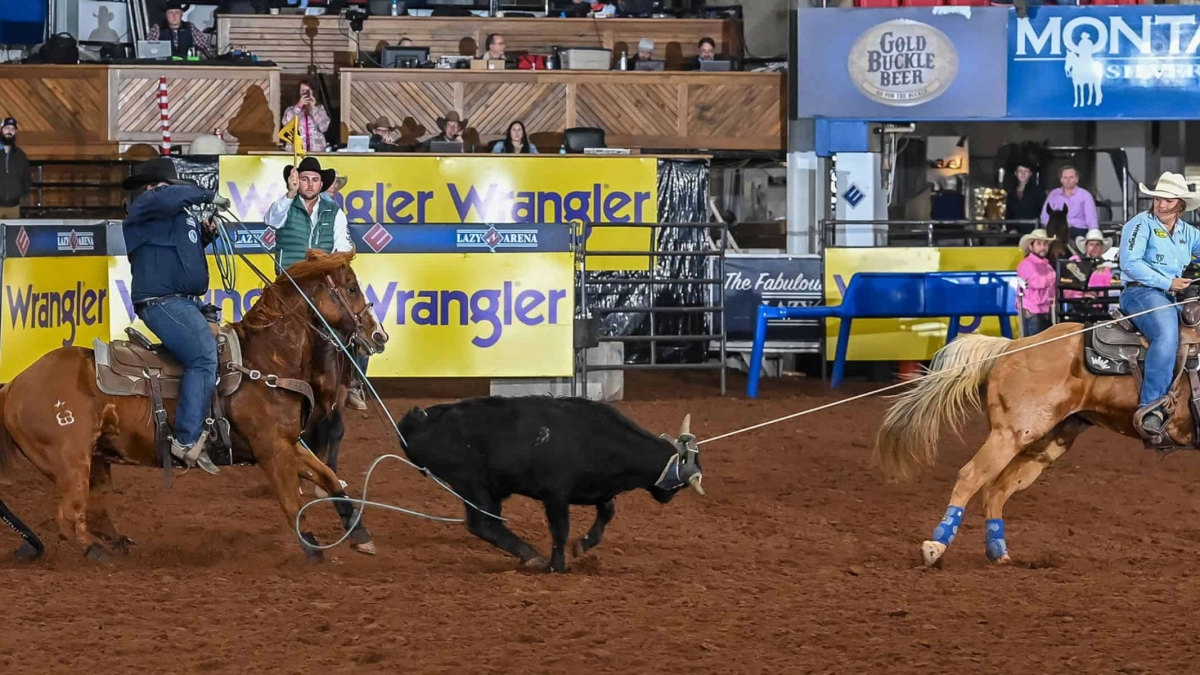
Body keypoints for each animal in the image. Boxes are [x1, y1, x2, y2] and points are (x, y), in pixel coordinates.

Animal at [0, 250, 388, 563]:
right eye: (351, 288)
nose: (379, 335)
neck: (264, 360)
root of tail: (14, 384)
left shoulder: (288, 443)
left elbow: (329, 478)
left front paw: (360, 534)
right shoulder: (272, 450)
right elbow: (292, 503)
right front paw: (314, 552)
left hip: (97, 459)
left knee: (93, 513)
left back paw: (118, 543)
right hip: (71, 460)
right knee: (69, 518)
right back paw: (99, 552)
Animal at [872, 316, 1200, 567]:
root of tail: (1013, 345)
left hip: (1047, 443)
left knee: (997, 489)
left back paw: (999, 552)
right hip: (1012, 432)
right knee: (971, 476)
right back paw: (936, 546)